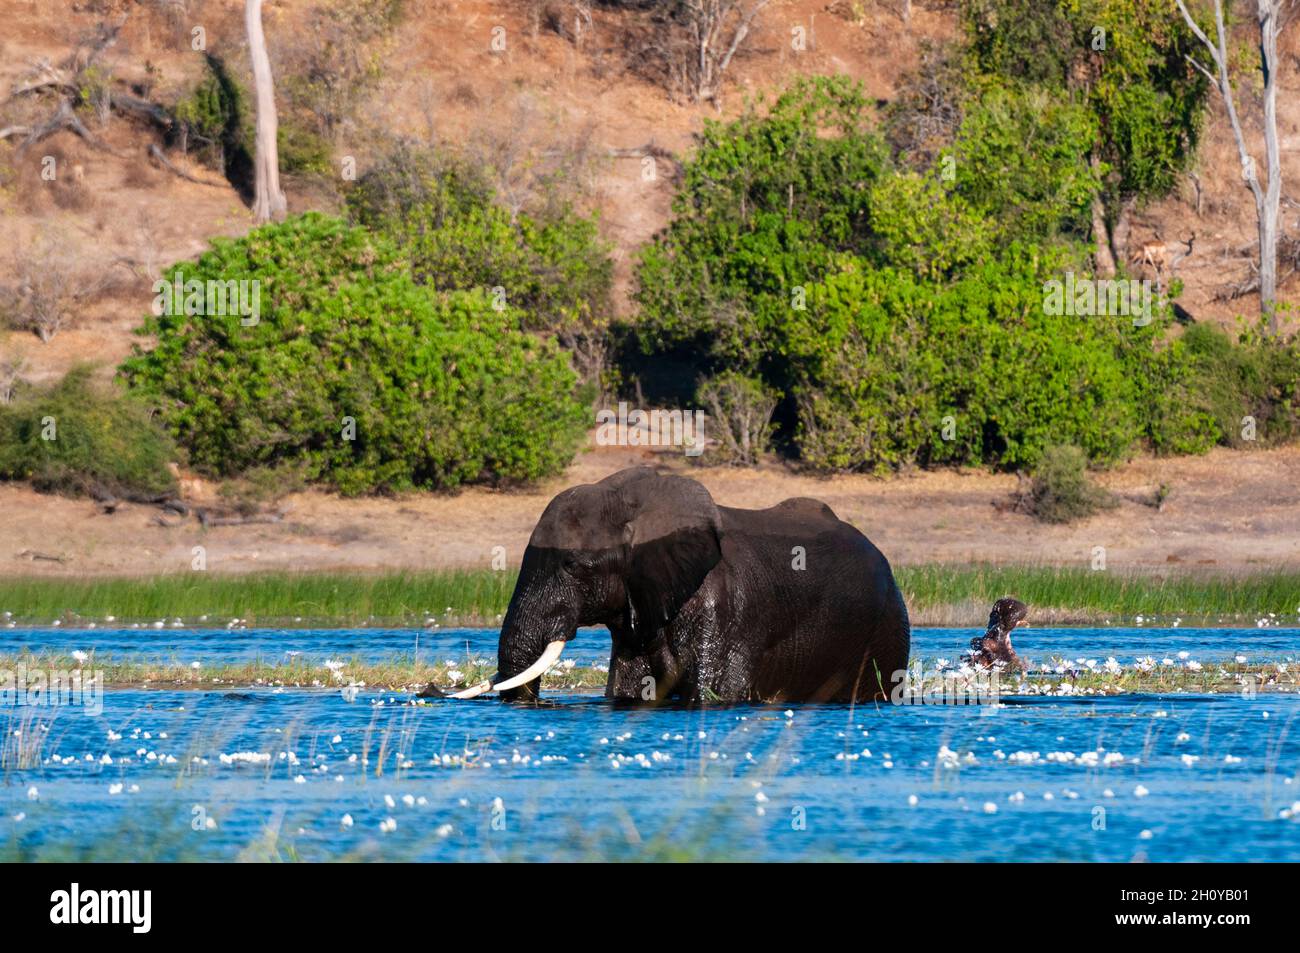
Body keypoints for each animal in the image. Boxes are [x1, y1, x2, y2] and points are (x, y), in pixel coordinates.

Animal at [424, 466, 913, 704]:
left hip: (885, 629)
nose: (429, 690)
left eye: (574, 565)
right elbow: (628, 687)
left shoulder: (724, 610)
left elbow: (714, 692)